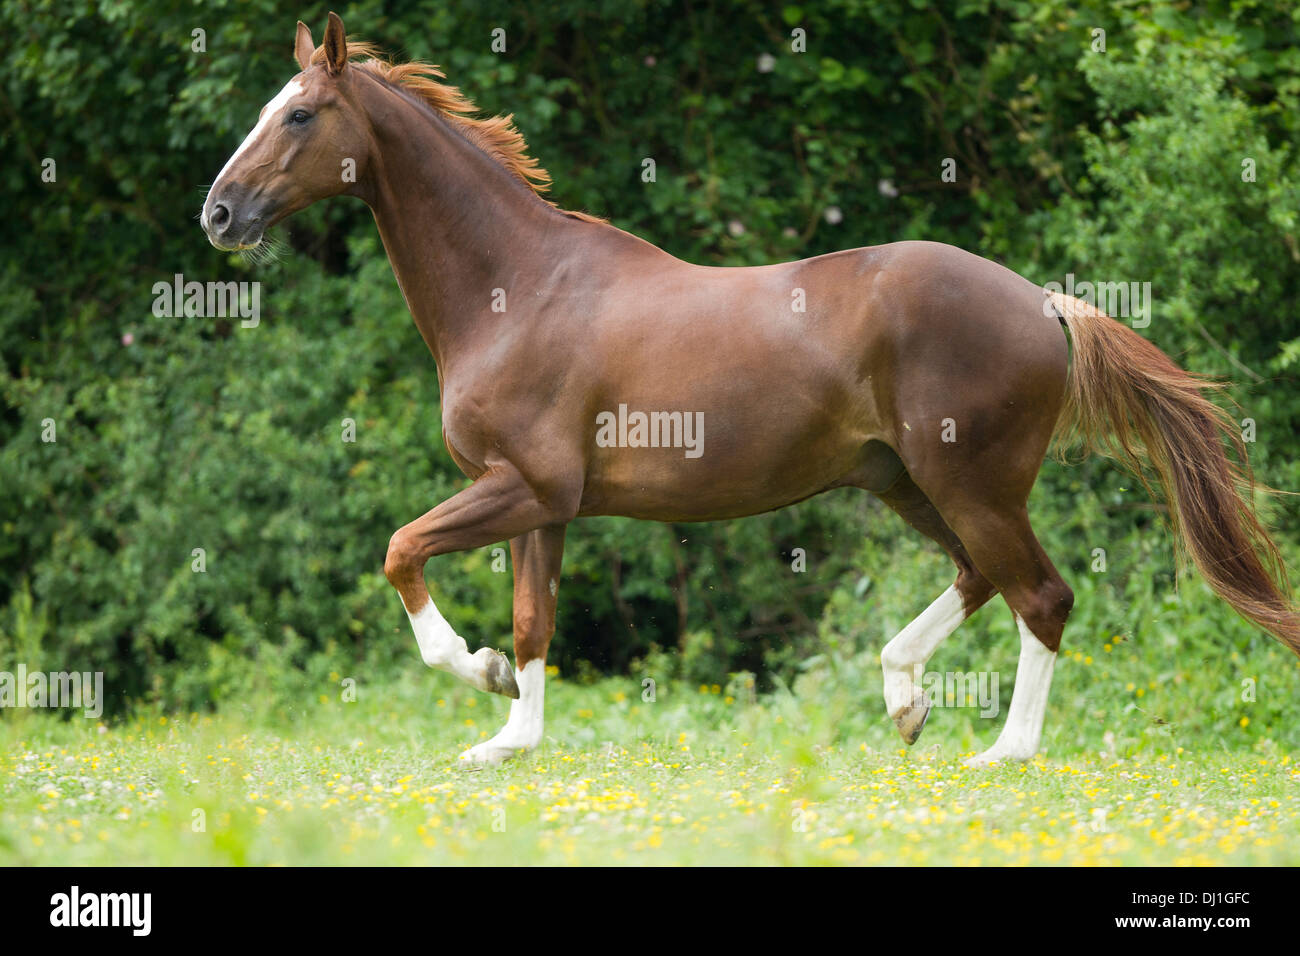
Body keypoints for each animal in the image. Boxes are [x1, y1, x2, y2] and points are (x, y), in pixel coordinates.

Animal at [200, 13, 1299, 766]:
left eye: (299, 114)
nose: (218, 213)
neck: (517, 286)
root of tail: (1043, 301)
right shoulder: (541, 504)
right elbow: (534, 623)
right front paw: (509, 736)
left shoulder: (524, 487)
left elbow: (402, 551)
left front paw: (475, 672)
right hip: (908, 482)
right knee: (984, 580)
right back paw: (904, 698)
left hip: (969, 482)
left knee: (1042, 594)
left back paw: (1002, 751)